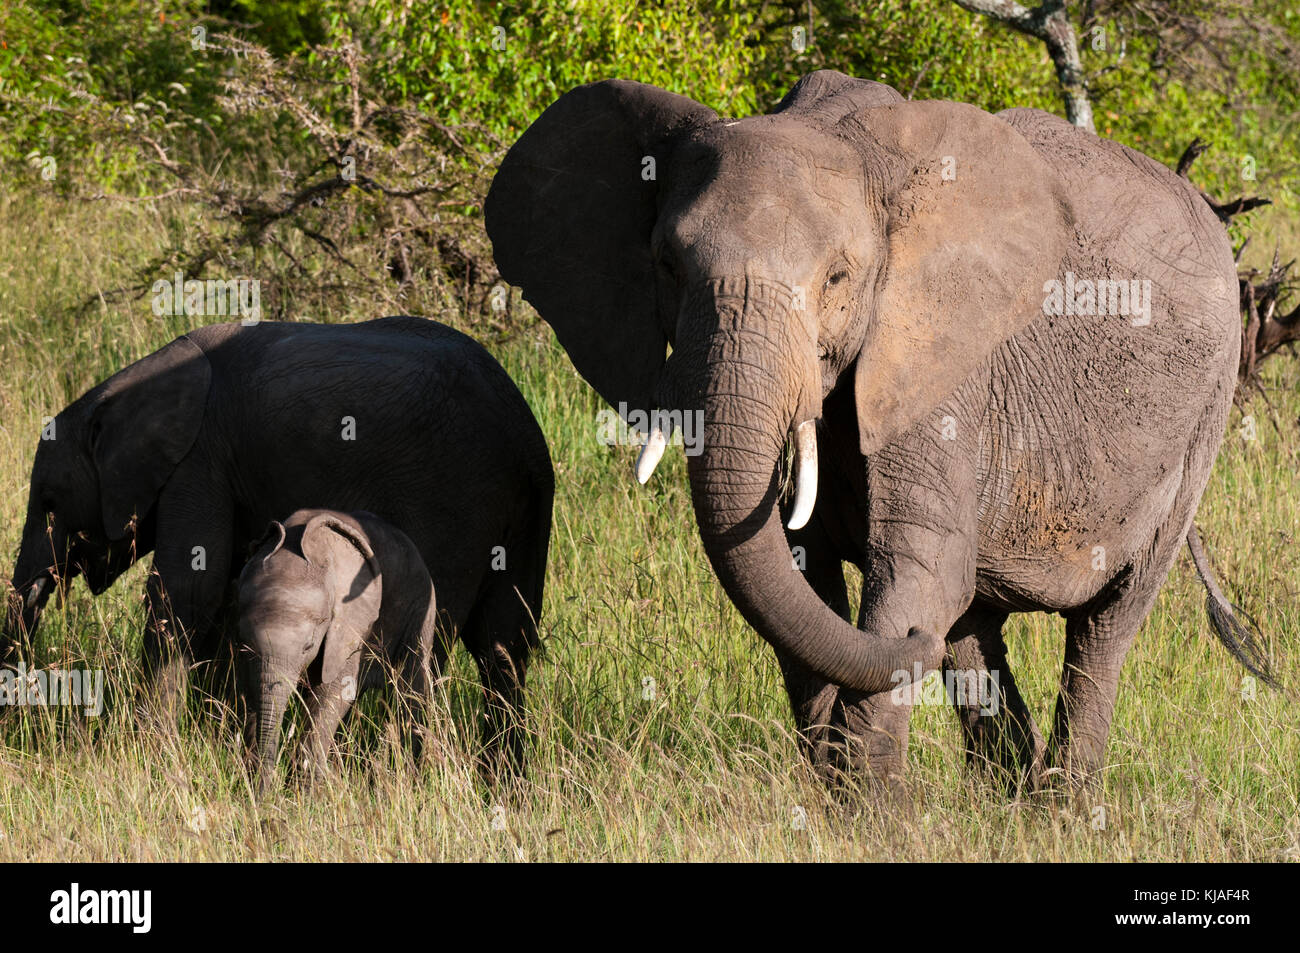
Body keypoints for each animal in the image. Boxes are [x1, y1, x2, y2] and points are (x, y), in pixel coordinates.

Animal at [238, 509, 443, 792]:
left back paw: (410, 781)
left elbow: (335, 693)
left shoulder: (349, 622)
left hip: (419, 605)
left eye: (308, 646)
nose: (265, 795)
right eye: (244, 642)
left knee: (412, 689)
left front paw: (305, 792)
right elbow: (251, 691)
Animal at [485, 70, 1271, 794]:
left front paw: (873, 816)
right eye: (667, 266)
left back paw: (1063, 809)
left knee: (1104, 624)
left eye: (838, 277)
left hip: (1205, 416)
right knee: (973, 626)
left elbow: (917, 575)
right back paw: (1008, 798)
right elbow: (803, 577)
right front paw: (841, 800)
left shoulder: (942, 370)